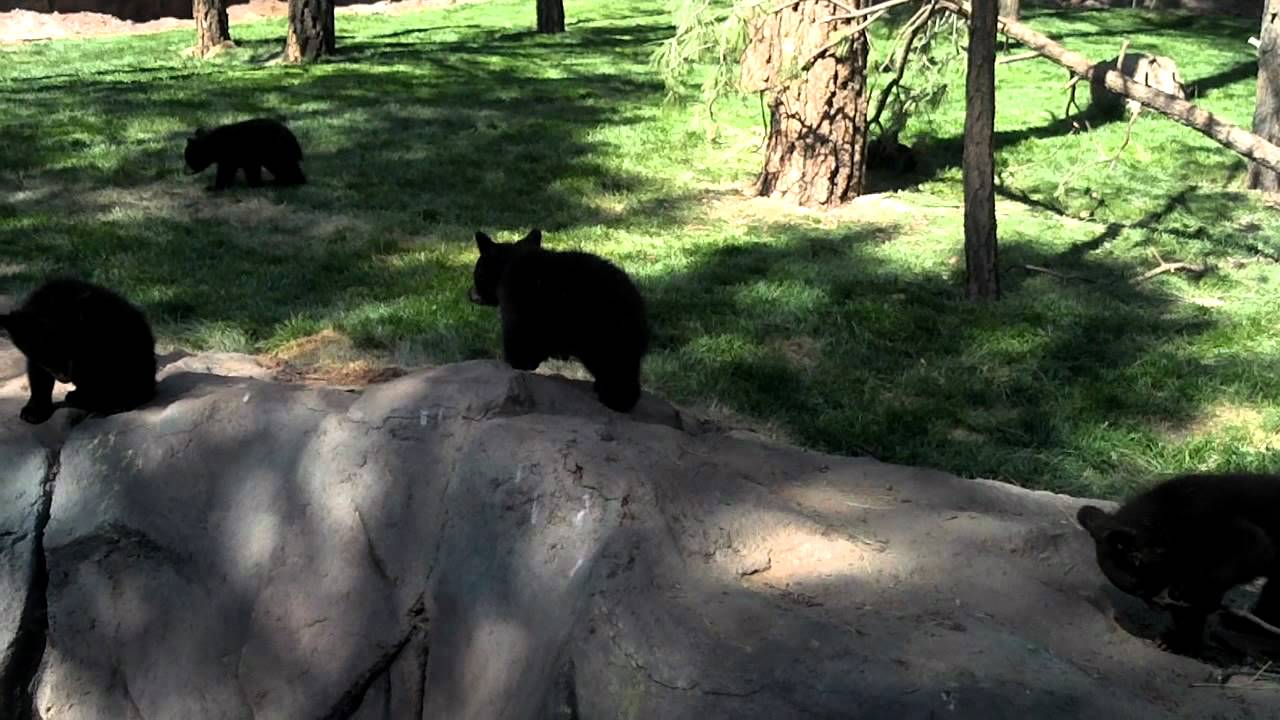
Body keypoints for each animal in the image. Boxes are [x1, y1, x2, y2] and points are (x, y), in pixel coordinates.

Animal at [467, 228, 649, 413]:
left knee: (616, 371)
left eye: (477, 272)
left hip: (604, 335)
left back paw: (615, 401)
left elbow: (518, 347)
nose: (470, 293)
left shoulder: (517, 309)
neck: (510, 263)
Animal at [1077, 473, 1280, 655]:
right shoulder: (1180, 565)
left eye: (1144, 587)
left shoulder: (1218, 525)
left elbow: (1251, 550)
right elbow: (1188, 611)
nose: (1159, 607)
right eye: (1140, 594)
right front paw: (1177, 642)